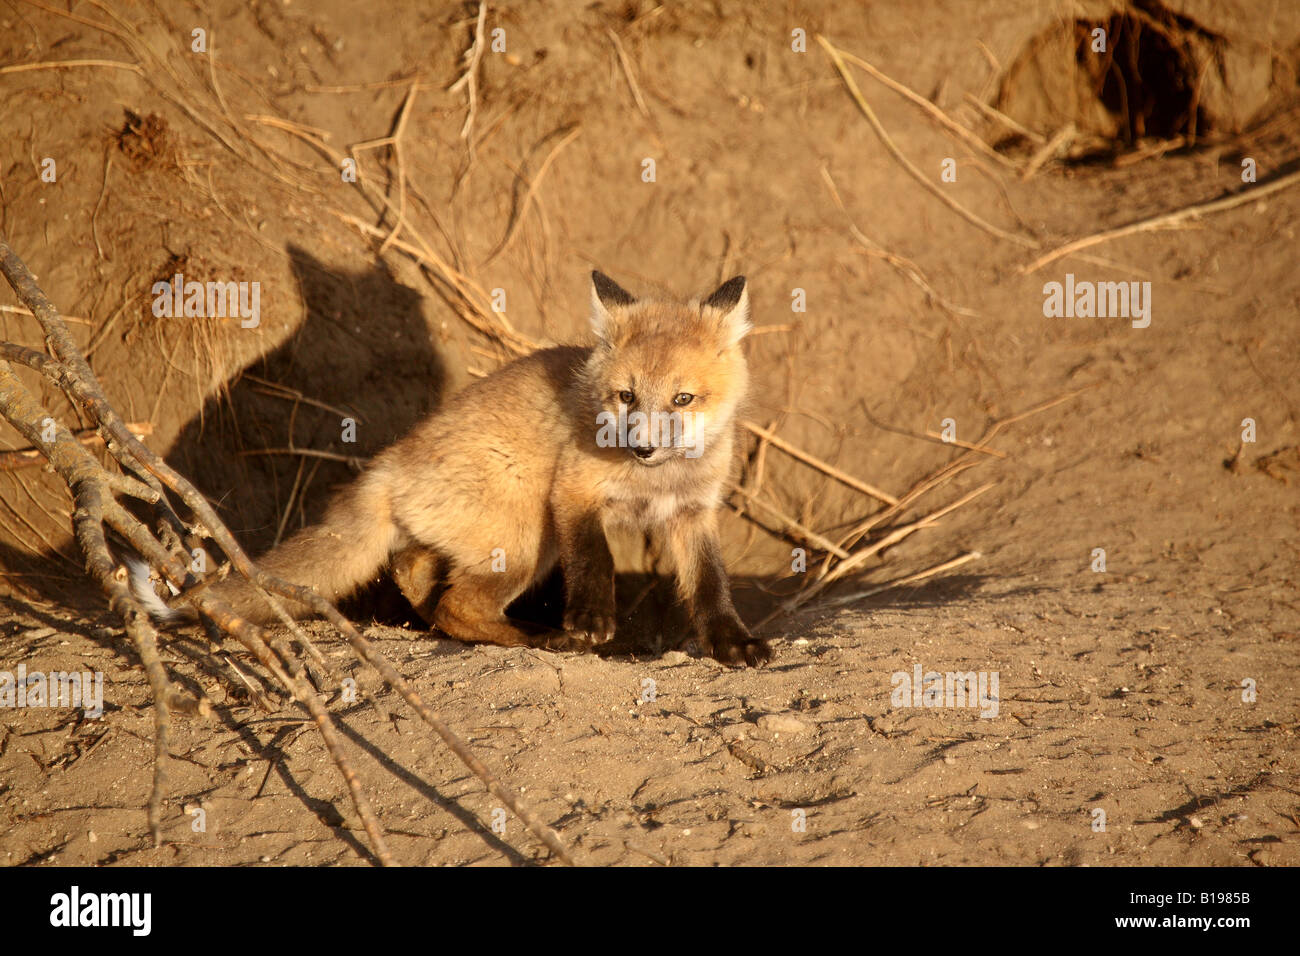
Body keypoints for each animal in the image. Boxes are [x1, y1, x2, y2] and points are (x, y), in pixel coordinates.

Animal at [130, 271, 771, 666]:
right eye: (626, 396)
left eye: (683, 400)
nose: (640, 449)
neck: (656, 480)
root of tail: (389, 464)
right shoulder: (575, 494)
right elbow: (598, 560)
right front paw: (590, 619)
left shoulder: (692, 514)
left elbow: (710, 584)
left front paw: (733, 644)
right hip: (528, 539)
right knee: (459, 606)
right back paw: (537, 639)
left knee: (416, 574)